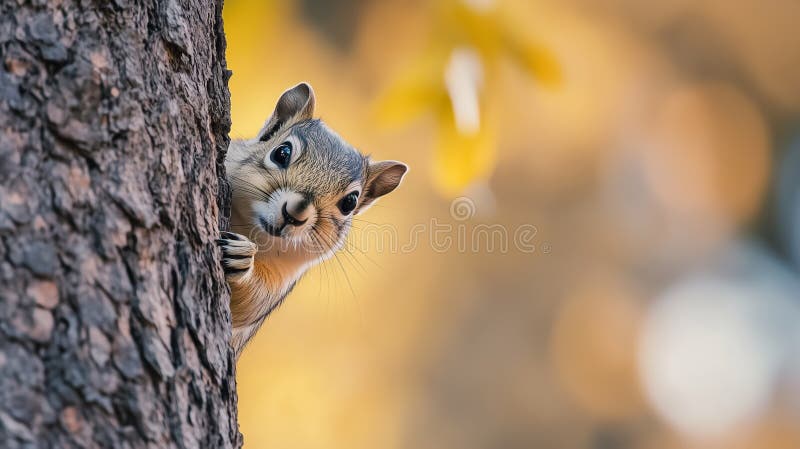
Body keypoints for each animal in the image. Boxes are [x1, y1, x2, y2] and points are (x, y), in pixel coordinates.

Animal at [217, 83, 408, 358]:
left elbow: (249, 305)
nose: (294, 213)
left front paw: (241, 259)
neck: (248, 227)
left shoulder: (280, 281)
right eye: (282, 152)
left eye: (350, 202)